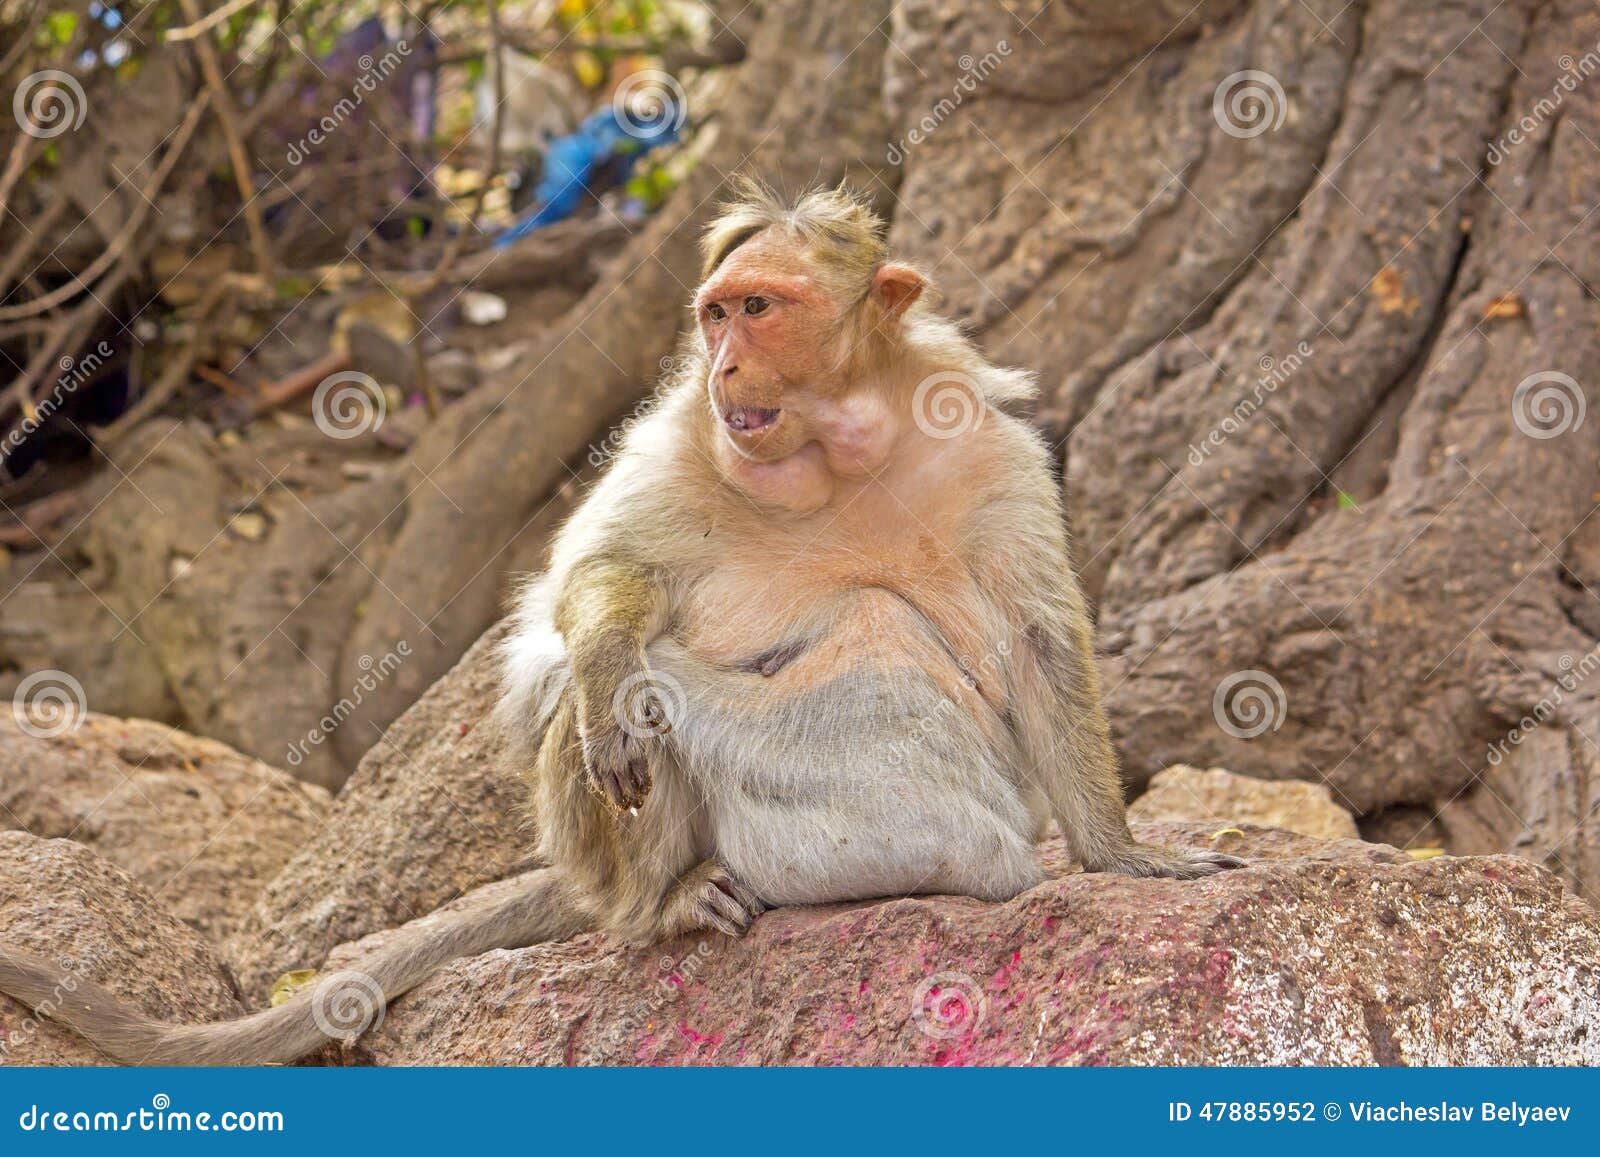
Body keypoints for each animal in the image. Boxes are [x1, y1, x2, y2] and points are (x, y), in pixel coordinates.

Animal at [0, 179, 1239, 1066]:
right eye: (715, 314)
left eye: (761, 307)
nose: (727, 359)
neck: (843, 446)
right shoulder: (686, 431)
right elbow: (599, 584)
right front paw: (603, 675)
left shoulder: (986, 444)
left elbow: (1037, 640)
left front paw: (1120, 852)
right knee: (633, 700)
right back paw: (654, 901)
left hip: (935, 834)